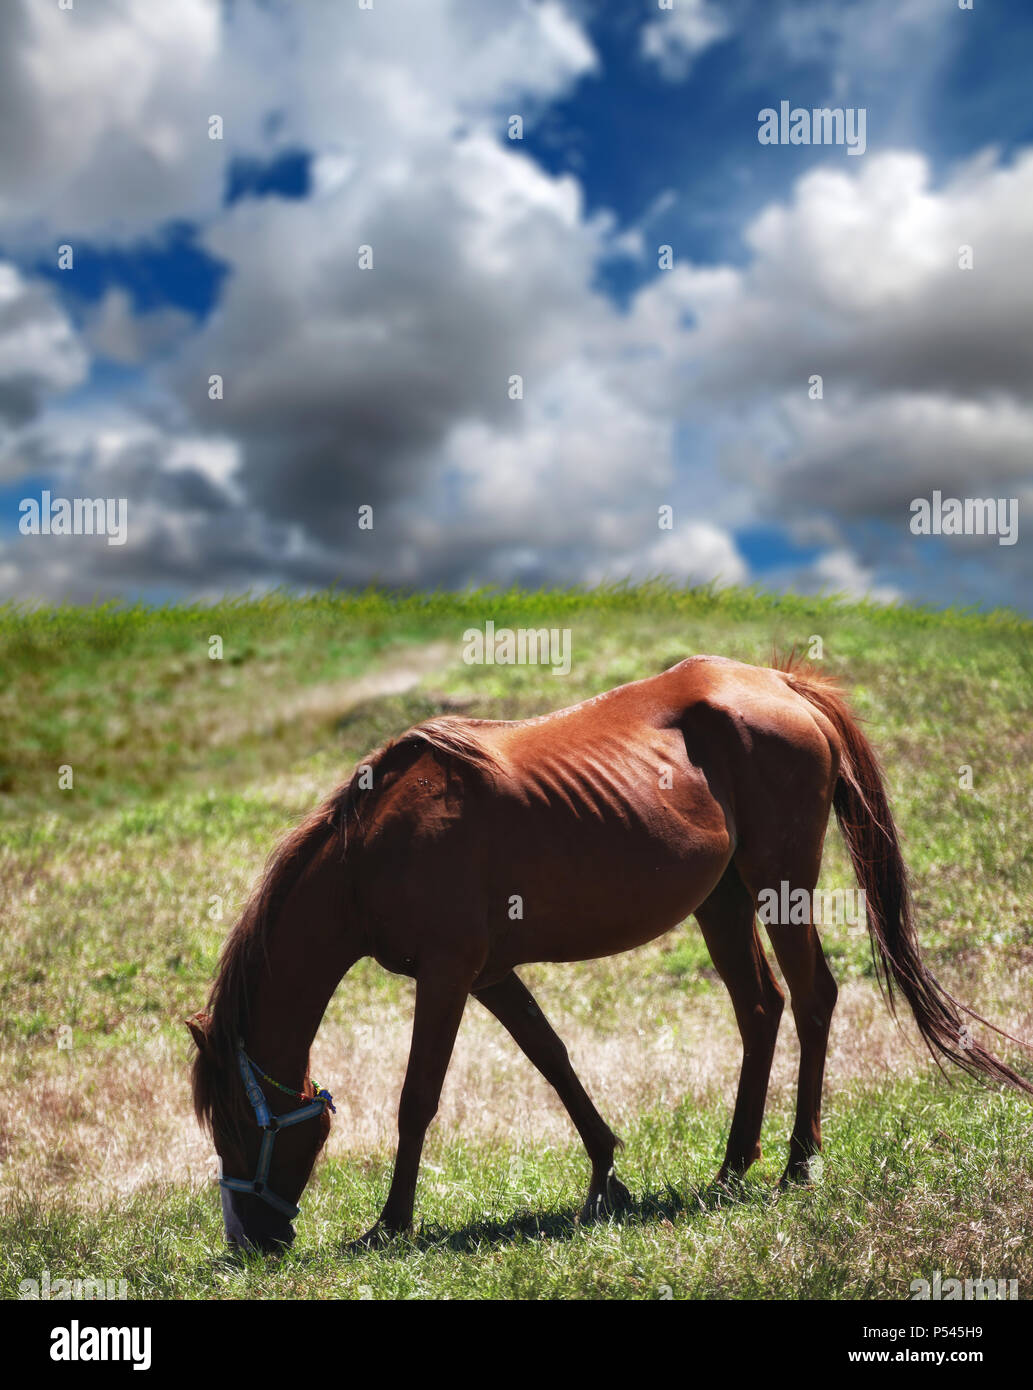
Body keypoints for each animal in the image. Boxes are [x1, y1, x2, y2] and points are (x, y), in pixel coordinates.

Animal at [187, 652, 1031, 1251]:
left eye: (237, 1128)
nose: (249, 1244)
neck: (371, 847)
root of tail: (783, 684)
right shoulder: (490, 974)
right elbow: (553, 1061)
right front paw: (606, 1174)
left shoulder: (448, 973)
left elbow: (416, 1097)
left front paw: (391, 1223)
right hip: (723, 900)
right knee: (761, 1009)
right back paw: (732, 1165)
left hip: (778, 884)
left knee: (814, 996)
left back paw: (799, 1162)